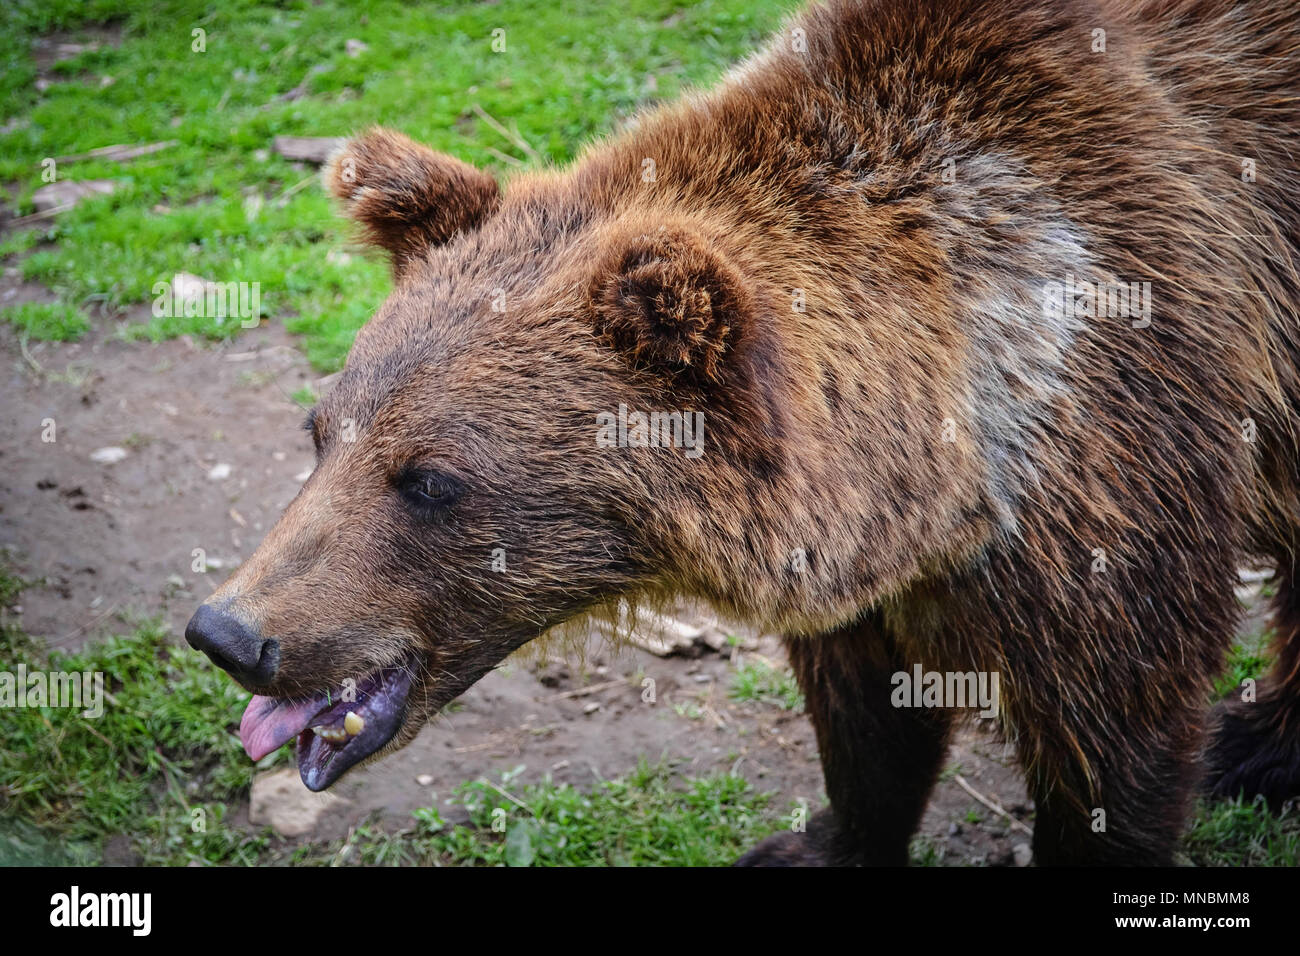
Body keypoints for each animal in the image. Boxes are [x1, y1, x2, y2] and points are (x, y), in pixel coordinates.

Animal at [185, 0, 1300, 865]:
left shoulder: (1112, 444)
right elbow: (864, 710)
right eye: (322, 431)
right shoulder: (881, 542)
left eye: (430, 479)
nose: (230, 633)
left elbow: (1113, 728)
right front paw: (822, 837)